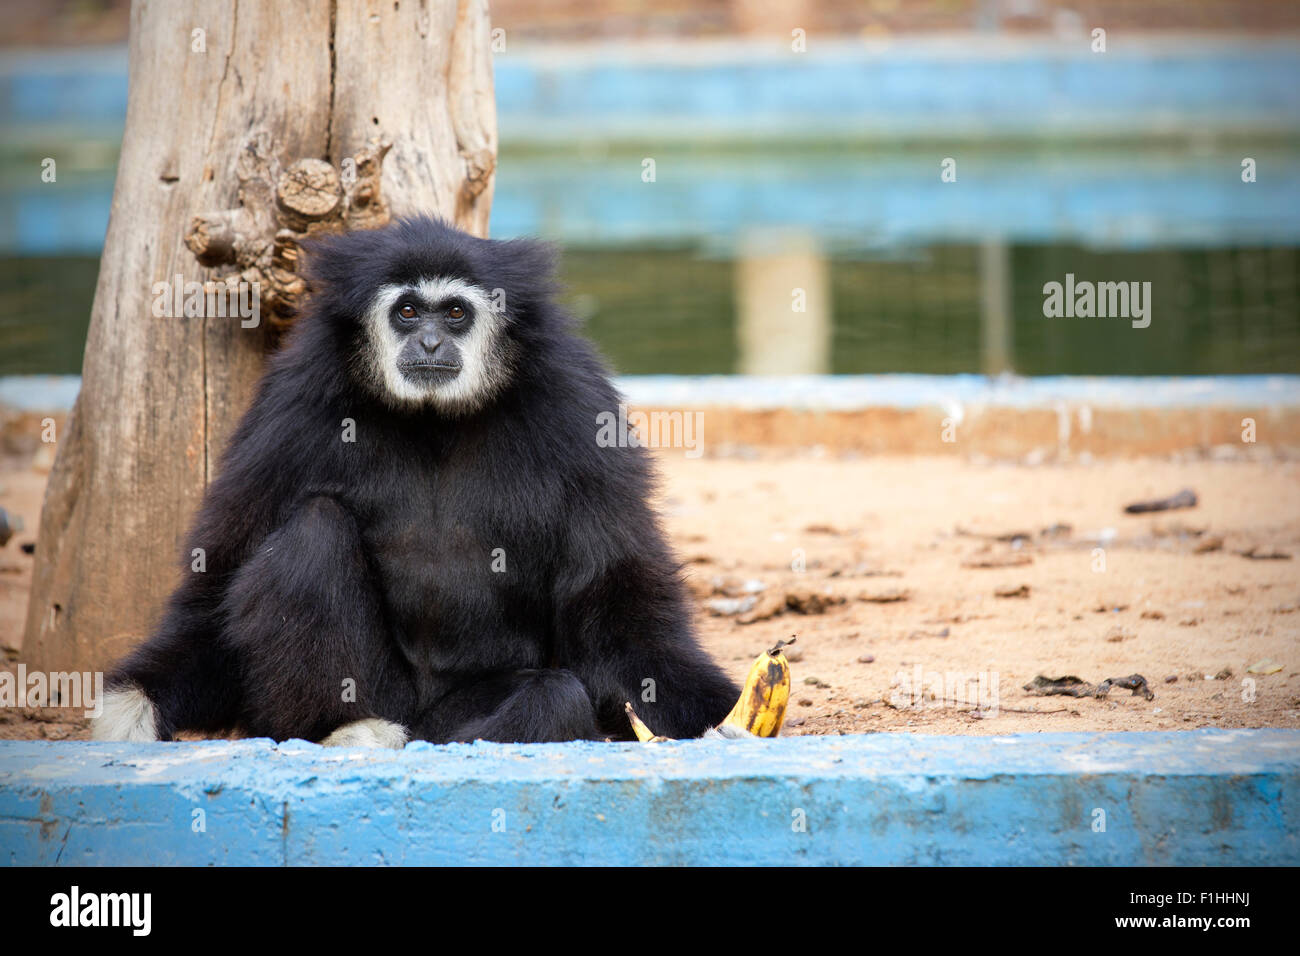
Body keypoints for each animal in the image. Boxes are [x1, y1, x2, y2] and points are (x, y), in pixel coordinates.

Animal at [93, 216, 740, 747]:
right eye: (407, 311)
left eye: (454, 312)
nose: (430, 341)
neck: (434, 422)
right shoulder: (295, 401)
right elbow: (211, 589)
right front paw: (138, 704)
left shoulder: (577, 404)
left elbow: (618, 609)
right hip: (383, 695)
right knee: (315, 531)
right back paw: (341, 729)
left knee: (553, 694)